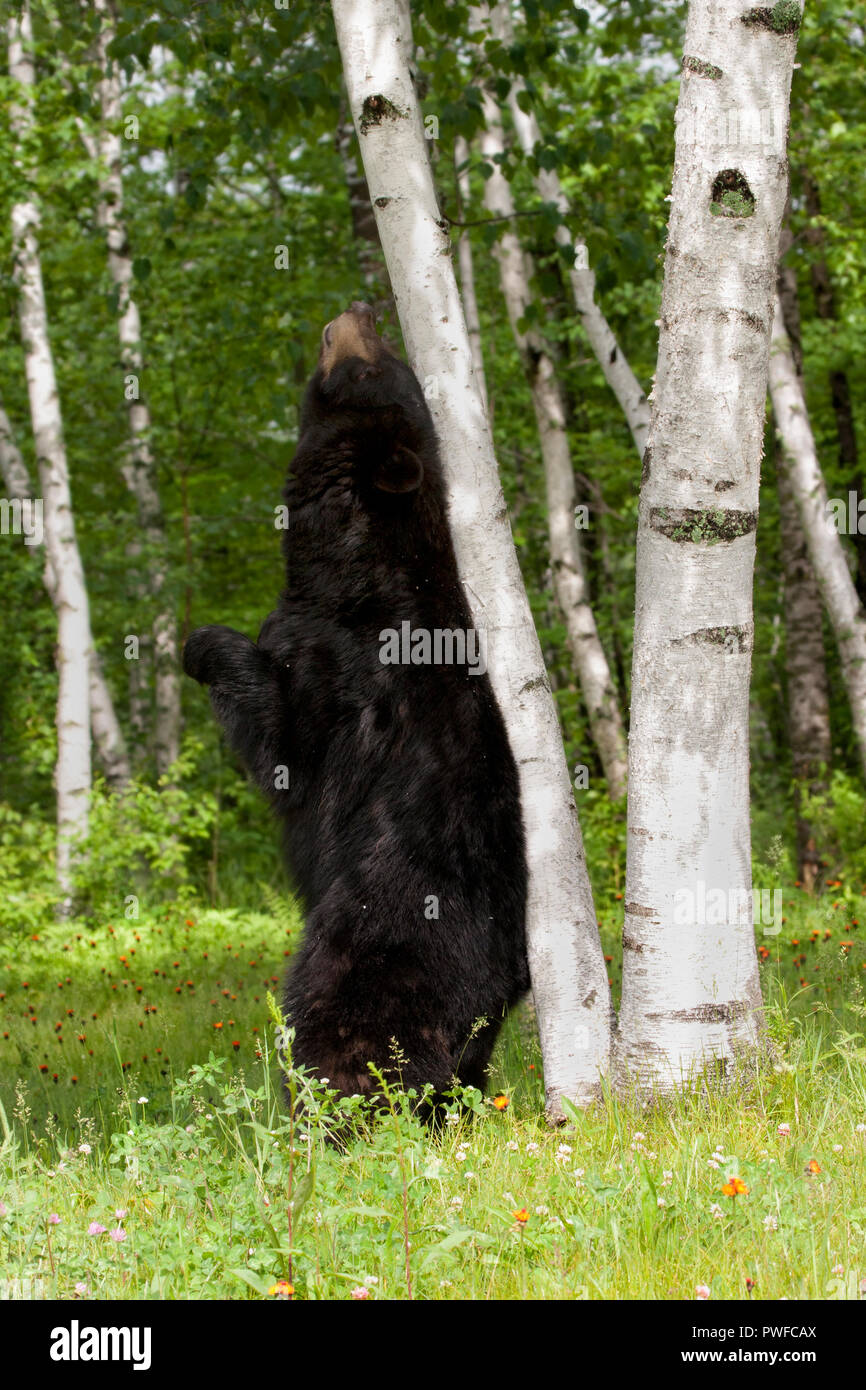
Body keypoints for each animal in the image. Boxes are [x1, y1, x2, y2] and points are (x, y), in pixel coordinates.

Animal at [183, 301, 529, 1108]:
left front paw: (205, 643)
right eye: (393, 352)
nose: (361, 308)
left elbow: (281, 744)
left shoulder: (341, 678)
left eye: (375, 364)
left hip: (369, 951)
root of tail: (500, 991)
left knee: (344, 1048)